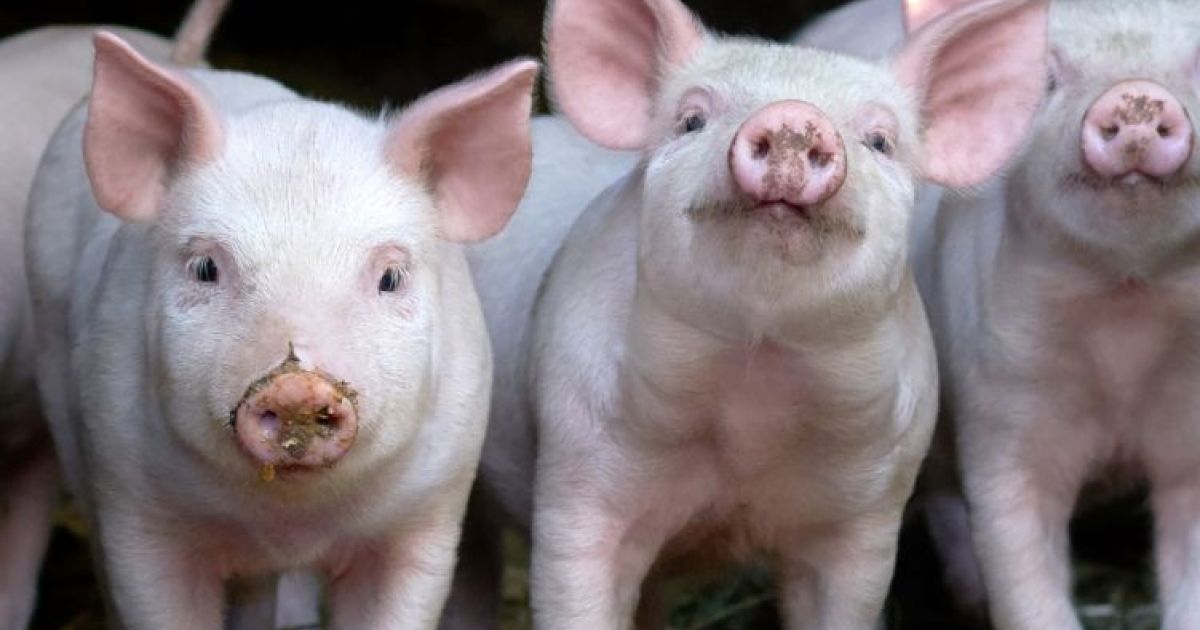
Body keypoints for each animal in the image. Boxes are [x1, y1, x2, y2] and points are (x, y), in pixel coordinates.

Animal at [23, 27, 538, 629]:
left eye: (390, 277)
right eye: (206, 267)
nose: (295, 386)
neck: (289, 522)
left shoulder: (426, 517)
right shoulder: (136, 511)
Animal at [454, 0, 1051, 627]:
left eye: (881, 140)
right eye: (691, 120)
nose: (792, 117)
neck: (753, 392)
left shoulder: (866, 510)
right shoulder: (577, 477)